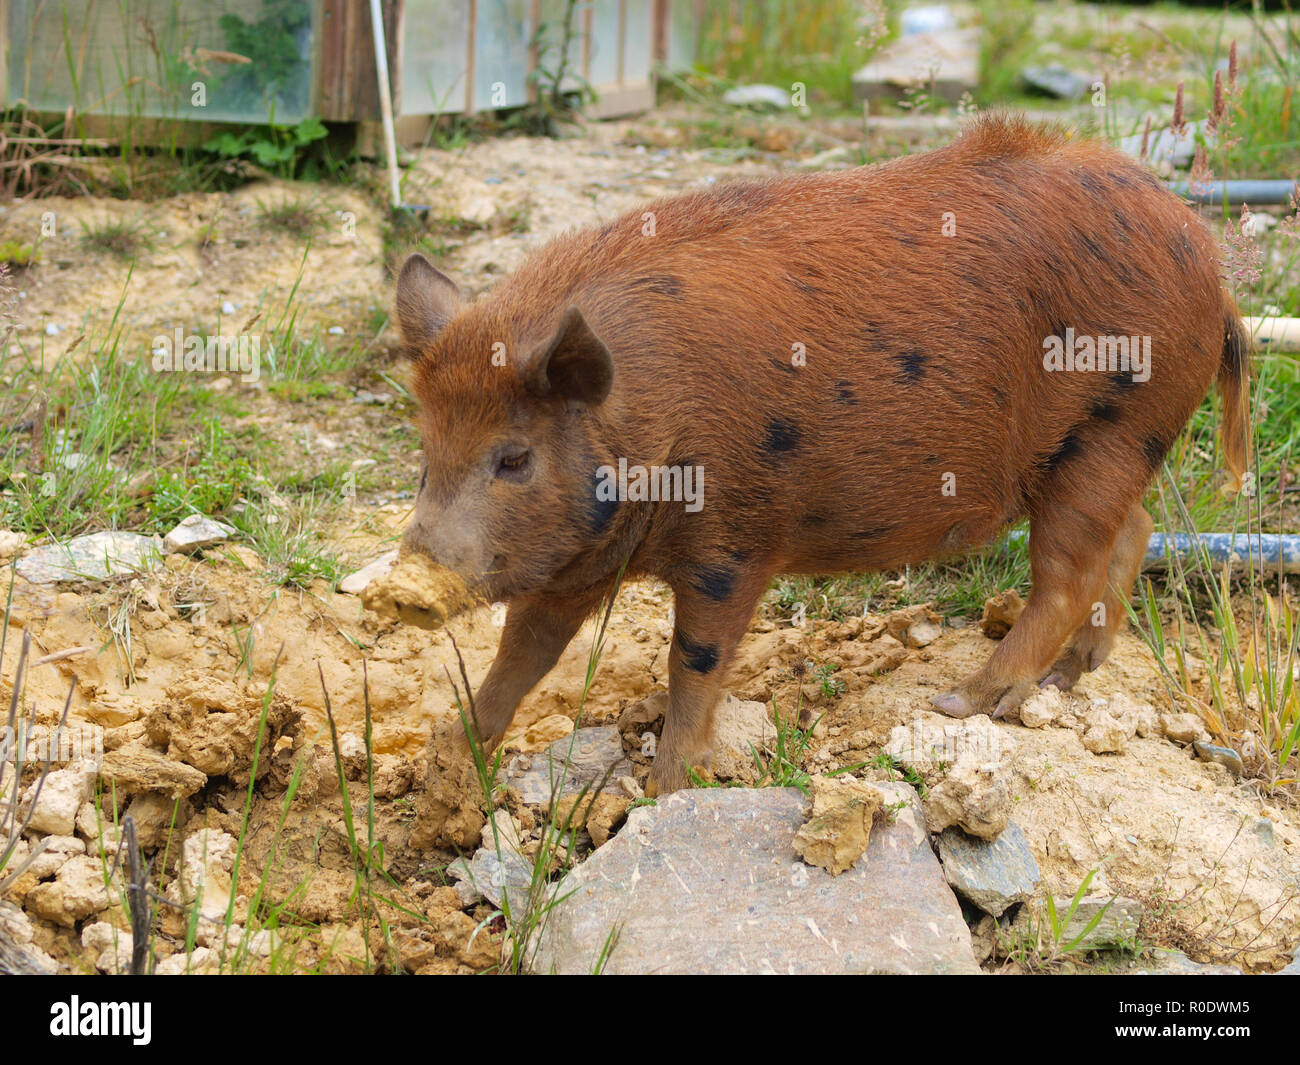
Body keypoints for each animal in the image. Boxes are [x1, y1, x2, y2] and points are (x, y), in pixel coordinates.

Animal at [395, 114, 1250, 796]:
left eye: (514, 459)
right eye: (425, 455)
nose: (414, 574)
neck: (652, 414)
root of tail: (1210, 266)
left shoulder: (733, 539)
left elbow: (694, 658)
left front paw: (666, 787)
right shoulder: (573, 555)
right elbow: (521, 651)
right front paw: (449, 757)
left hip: (1114, 431)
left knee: (1067, 577)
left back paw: (964, 701)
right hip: (1102, 451)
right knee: (1134, 531)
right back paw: (1077, 671)